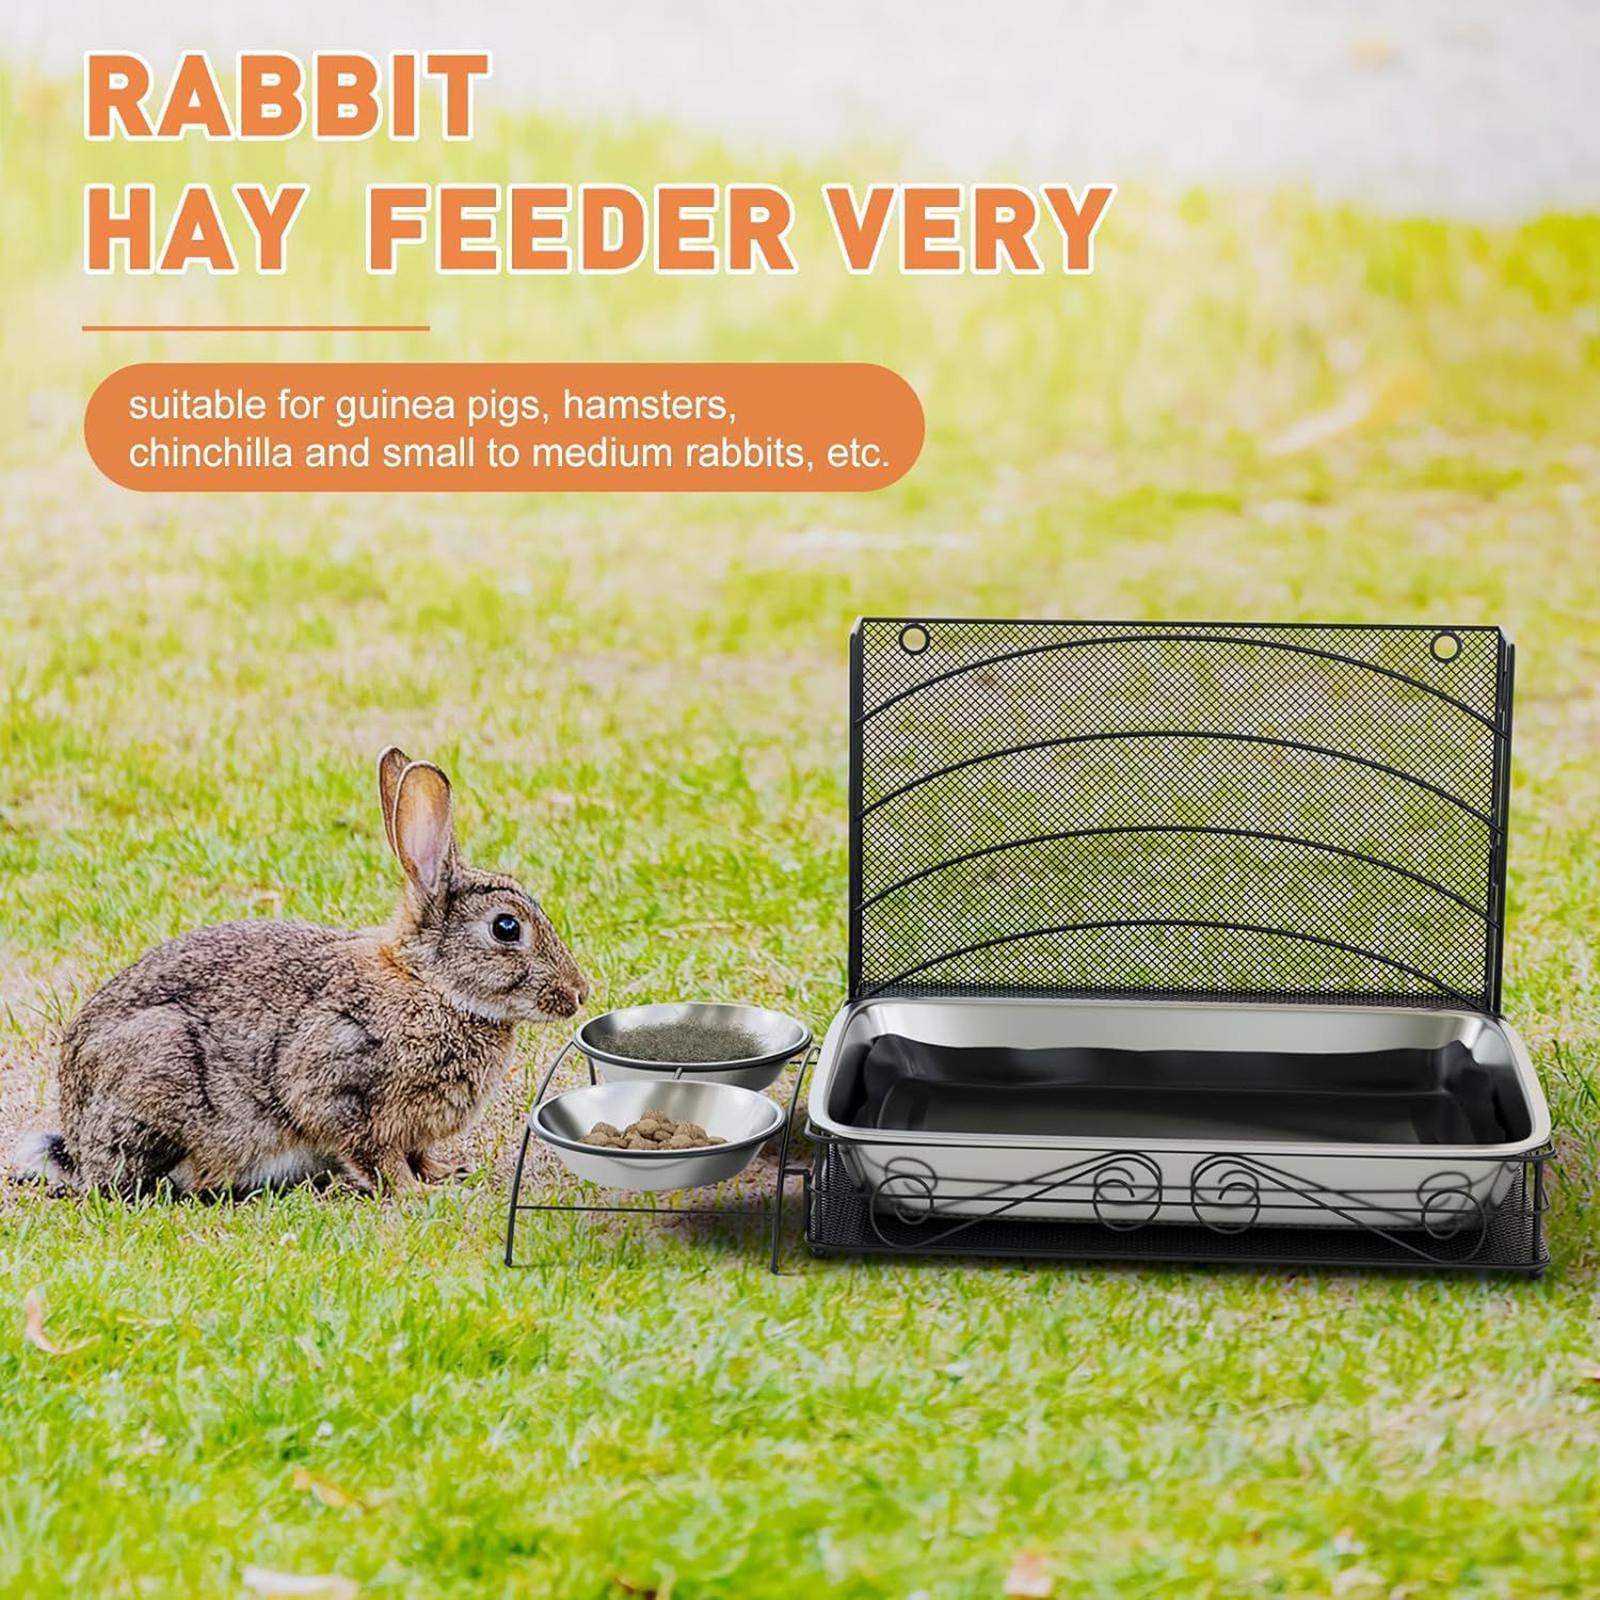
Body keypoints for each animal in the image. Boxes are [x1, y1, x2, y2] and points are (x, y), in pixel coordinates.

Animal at [9, 747, 589, 1197]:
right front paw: (416, 1193)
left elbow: (418, 1153)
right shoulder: (339, 1081)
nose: (579, 994)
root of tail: (76, 1141)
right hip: (160, 1068)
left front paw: (444, 1173)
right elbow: (374, 1151)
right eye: (506, 928)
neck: (433, 986)